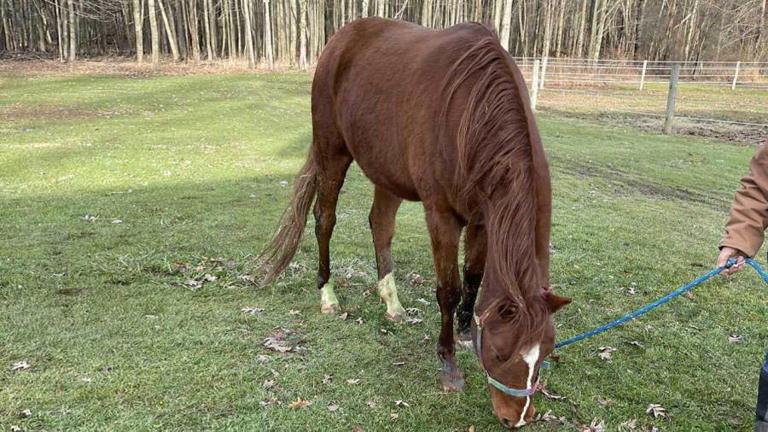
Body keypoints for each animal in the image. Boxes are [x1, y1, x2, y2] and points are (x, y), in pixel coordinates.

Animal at [257, 17, 571, 428]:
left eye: (544, 354)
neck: (471, 112)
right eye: (501, 355)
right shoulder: (441, 215)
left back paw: (391, 303)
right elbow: (448, 289)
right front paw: (449, 364)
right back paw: (328, 295)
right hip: (332, 153)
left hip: (385, 172)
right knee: (325, 221)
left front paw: (466, 330)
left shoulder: (483, 219)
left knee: (380, 225)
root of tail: (341, 40)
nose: (515, 419)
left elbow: (473, 277)